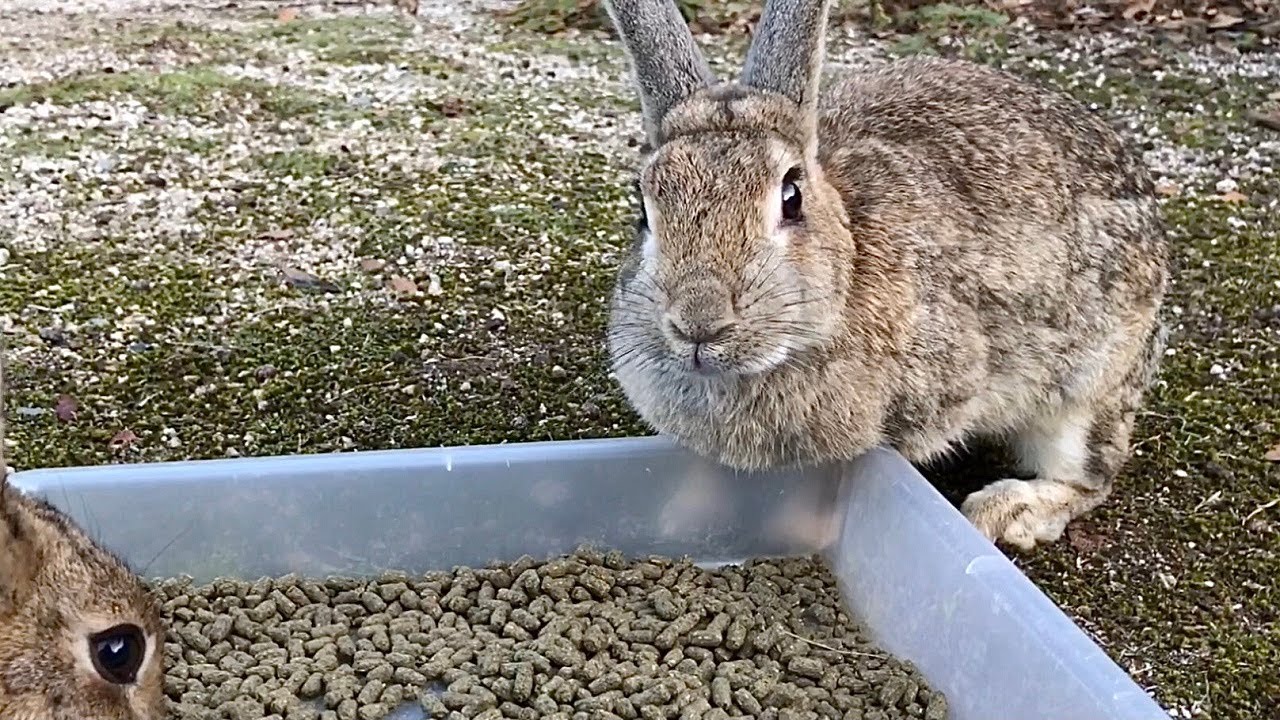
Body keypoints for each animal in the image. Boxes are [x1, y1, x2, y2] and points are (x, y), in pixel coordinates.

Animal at [602, 0, 1169, 551]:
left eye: (791, 197)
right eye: (643, 209)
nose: (698, 323)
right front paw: (681, 513)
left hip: (1088, 388)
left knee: (1089, 475)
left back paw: (1009, 511)